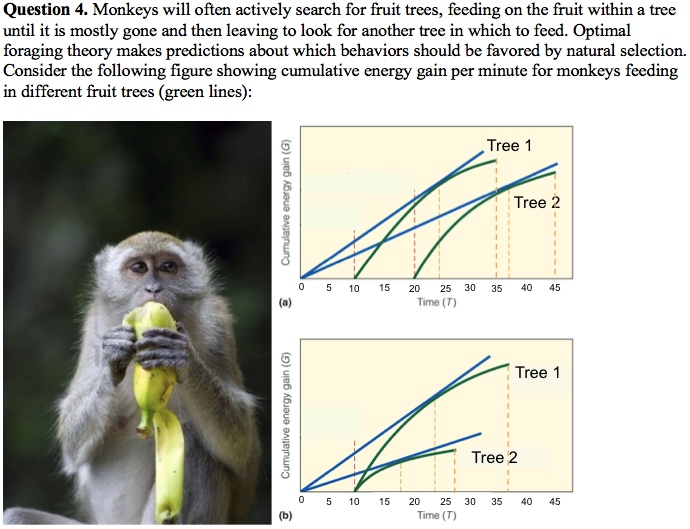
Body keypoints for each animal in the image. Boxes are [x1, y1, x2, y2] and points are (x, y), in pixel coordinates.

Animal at [4, 231, 260, 524]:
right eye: (139, 268)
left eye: (168, 267)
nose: (153, 289)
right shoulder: (94, 325)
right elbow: (71, 443)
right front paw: (113, 358)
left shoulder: (218, 325)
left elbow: (240, 445)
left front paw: (181, 355)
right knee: (15, 516)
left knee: (196, 443)